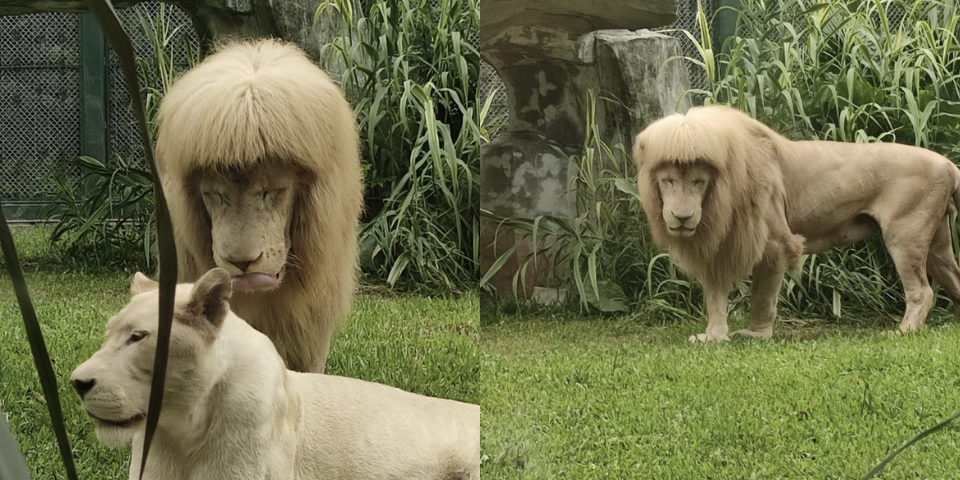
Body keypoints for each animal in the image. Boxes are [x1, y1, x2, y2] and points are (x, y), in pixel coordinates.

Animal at [634, 105, 960, 342]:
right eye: (668, 181)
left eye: (699, 182)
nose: (682, 217)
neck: (719, 198)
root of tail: (948, 164)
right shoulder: (717, 247)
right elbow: (714, 298)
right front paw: (713, 337)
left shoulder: (775, 244)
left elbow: (762, 296)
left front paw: (756, 335)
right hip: (937, 244)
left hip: (905, 236)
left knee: (923, 291)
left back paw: (904, 331)